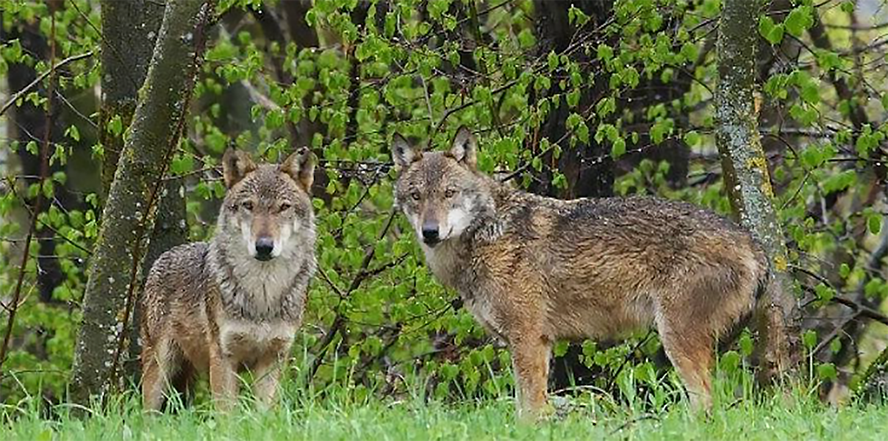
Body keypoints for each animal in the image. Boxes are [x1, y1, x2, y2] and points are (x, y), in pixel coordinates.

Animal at [140, 147, 317, 412]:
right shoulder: (223, 356)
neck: (263, 294)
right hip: (159, 369)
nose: (264, 246)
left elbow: (265, 412)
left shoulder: (273, 358)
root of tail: (163, 256)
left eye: (284, 207)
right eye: (248, 205)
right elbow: (226, 413)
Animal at [390, 127, 771, 419]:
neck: (487, 235)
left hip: (677, 340)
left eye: (449, 193)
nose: (430, 232)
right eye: (416, 196)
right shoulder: (536, 342)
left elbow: (530, 409)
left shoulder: (527, 338)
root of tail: (753, 244)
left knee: (705, 402)